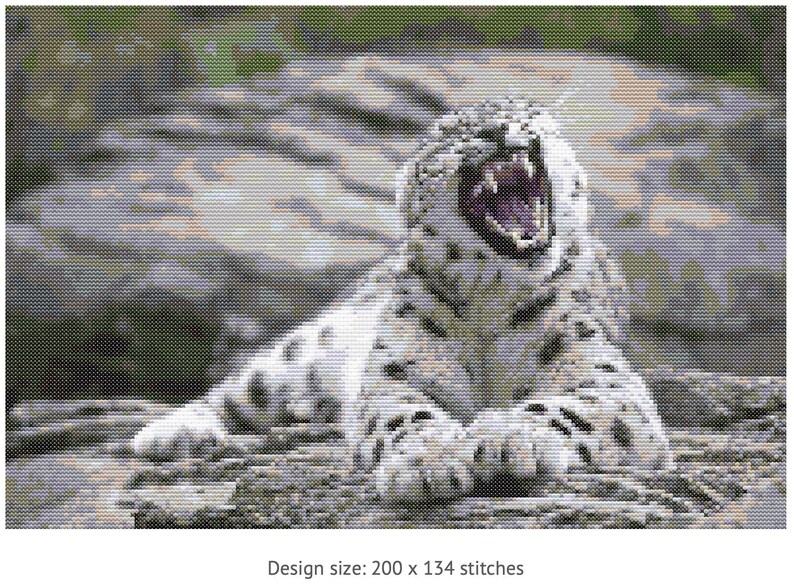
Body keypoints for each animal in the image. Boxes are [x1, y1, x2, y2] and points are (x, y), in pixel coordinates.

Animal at [132, 97, 673, 503]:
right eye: (450, 134)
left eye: (524, 111)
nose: (498, 129)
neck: (495, 295)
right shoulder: (395, 371)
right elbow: (401, 414)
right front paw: (429, 462)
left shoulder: (602, 374)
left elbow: (566, 406)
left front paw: (508, 438)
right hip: (304, 350)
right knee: (238, 389)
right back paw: (171, 433)